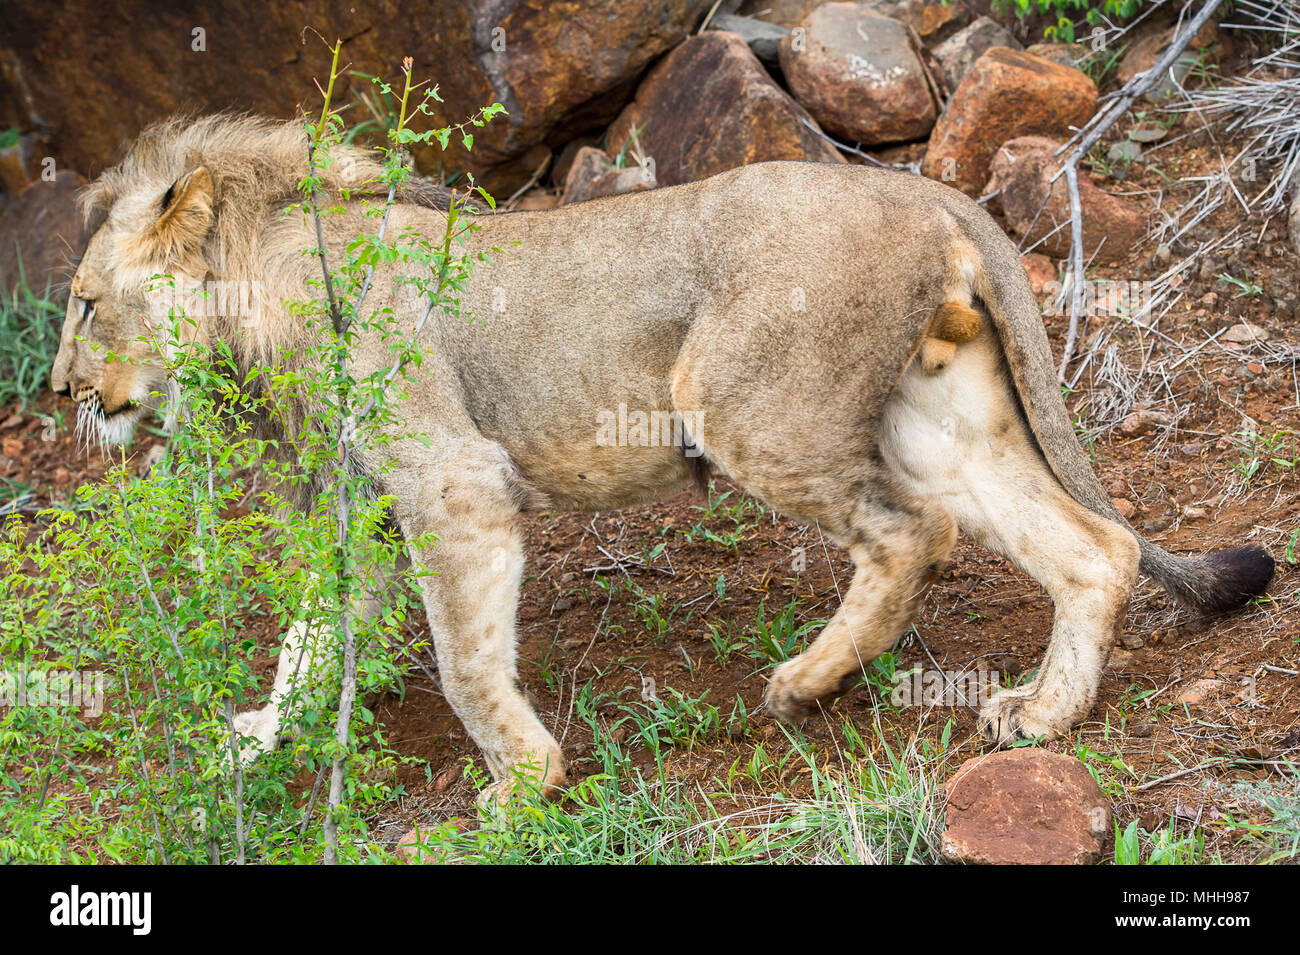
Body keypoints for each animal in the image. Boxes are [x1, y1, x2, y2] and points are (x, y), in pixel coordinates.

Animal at [51, 116, 1274, 802]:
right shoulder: (351, 501)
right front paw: (260, 739)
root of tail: (921, 188)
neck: (251, 289)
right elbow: (310, 634)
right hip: (936, 419)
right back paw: (1039, 714)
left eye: (84, 303)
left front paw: (521, 786)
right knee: (1094, 547)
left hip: (740, 404)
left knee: (909, 530)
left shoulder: (453, 479)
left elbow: (462, 662)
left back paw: (806, 681)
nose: (59, 392)